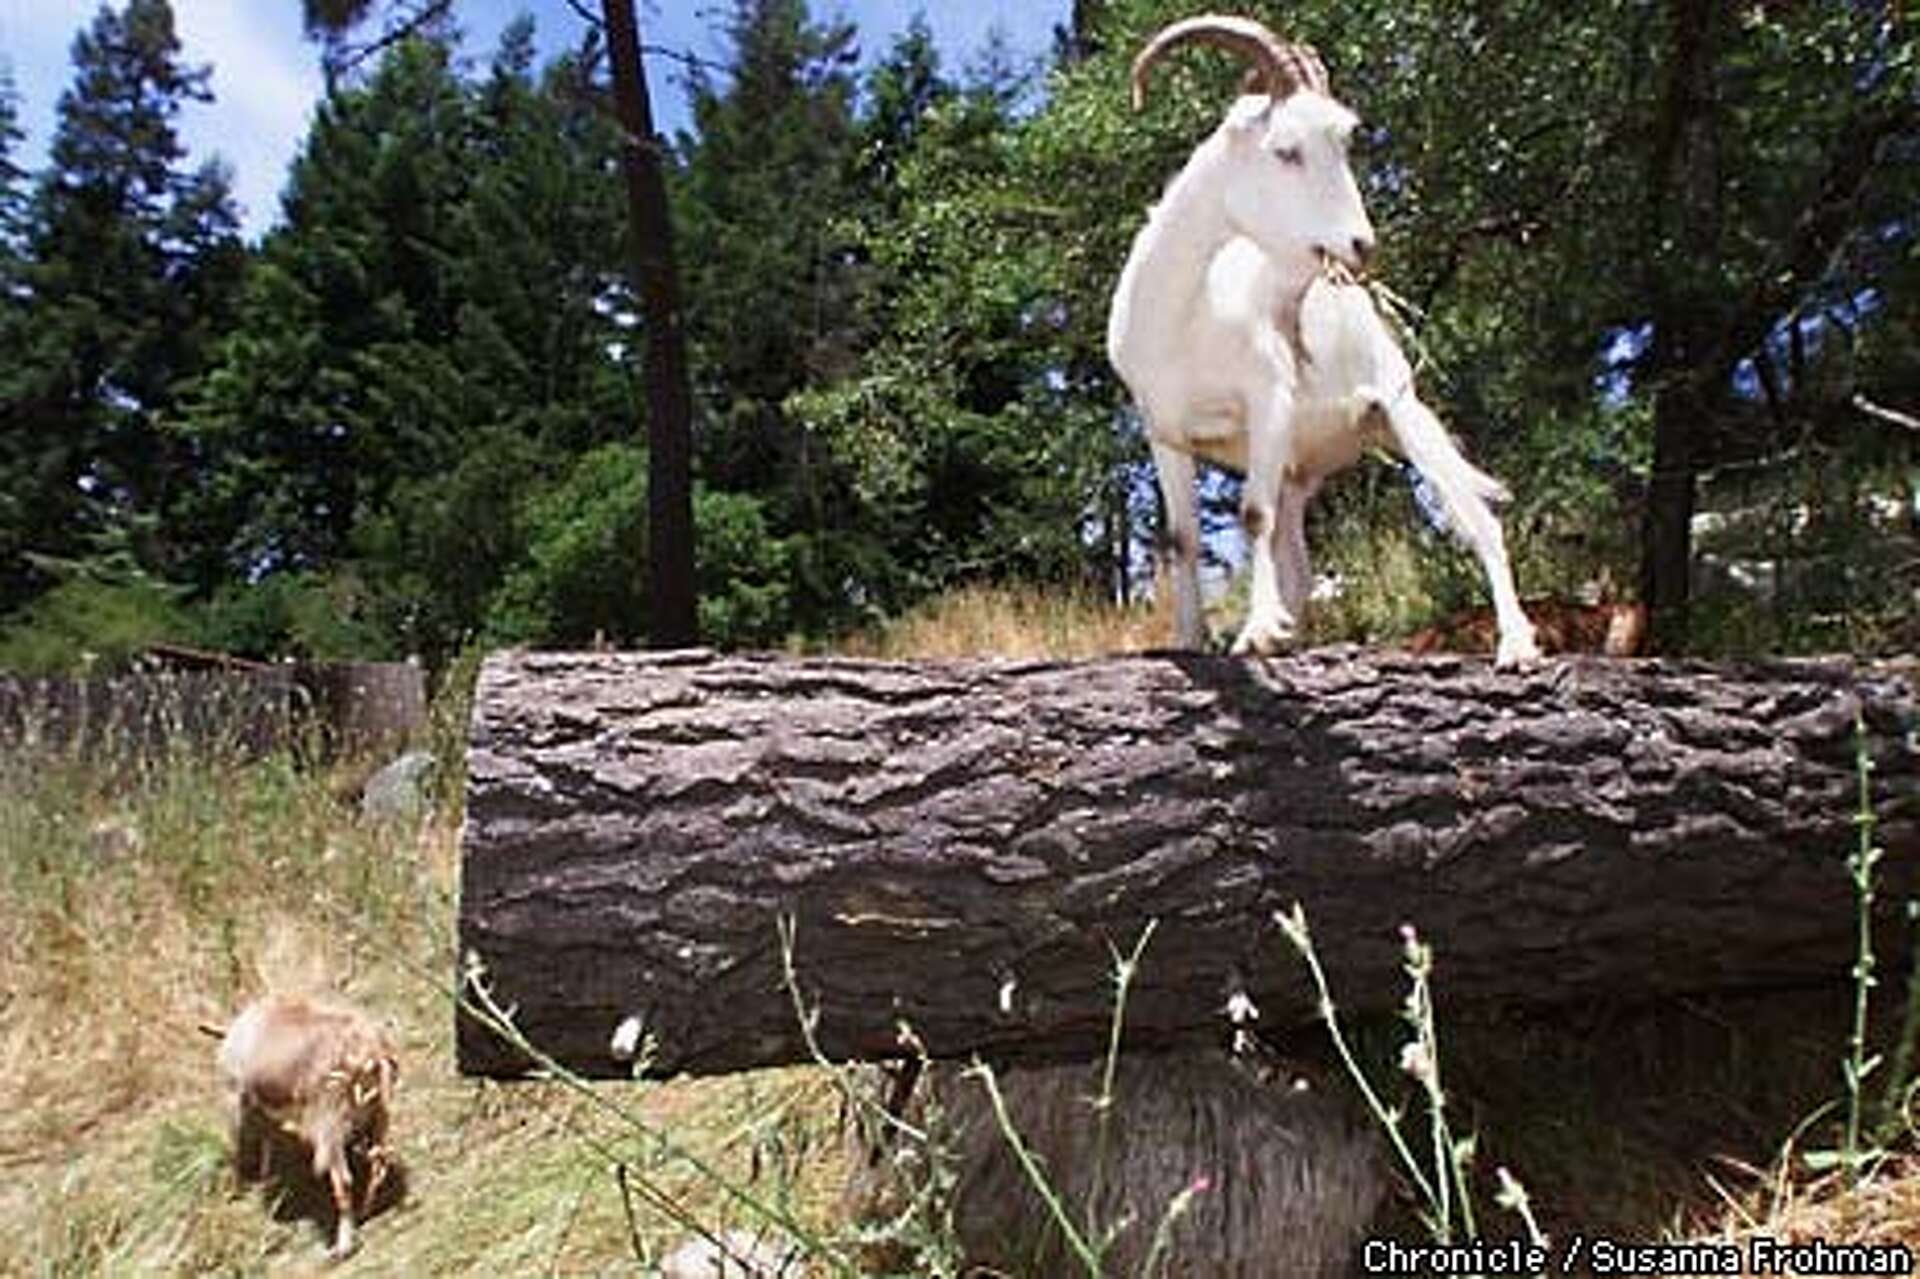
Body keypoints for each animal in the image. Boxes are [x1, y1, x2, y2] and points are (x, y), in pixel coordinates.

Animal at [210, 994, 400, 1258]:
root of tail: (371, 1052)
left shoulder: (238, 1101)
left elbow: (240, 1147)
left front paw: (237, 1190)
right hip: (378, 1115)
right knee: (378, 1165)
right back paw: (365, 1212)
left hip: (330, 1124)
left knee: (344, 1181)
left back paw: (342, 1247)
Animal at [1109, 15, 1539, 667]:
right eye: (1286, 150)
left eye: (1344, 143)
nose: (1361, 244)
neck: (1186, 319)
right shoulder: (1165, 430)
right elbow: (1182, 538)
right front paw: (1191, 639)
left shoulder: (1268, 398)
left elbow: (1251, 514)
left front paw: (1258, 633)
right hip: (1298, 467)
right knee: (1301, 565)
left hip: (1403, 411)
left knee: (1480, 522)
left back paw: (1517, 646)